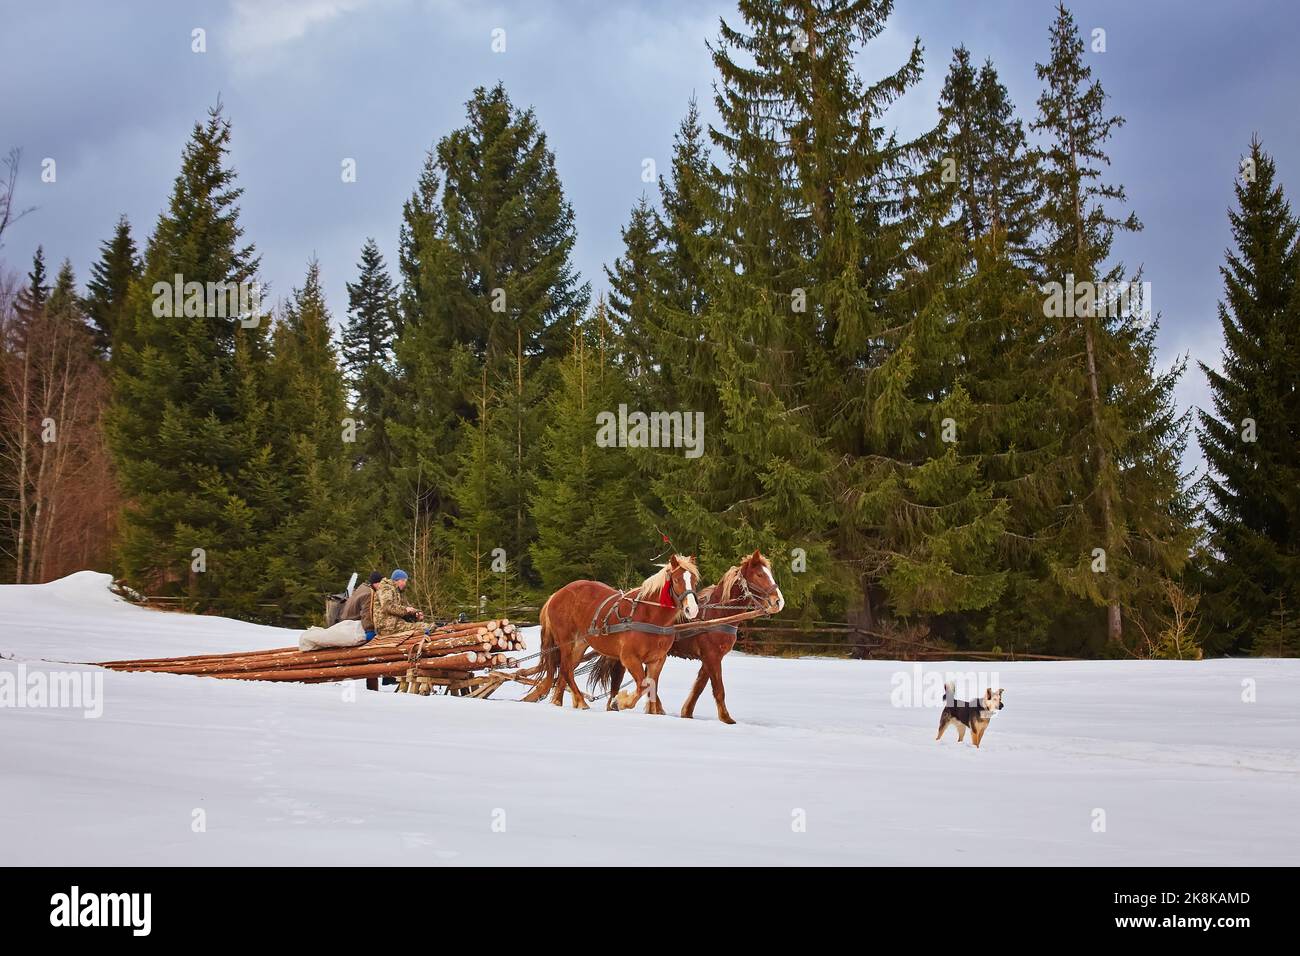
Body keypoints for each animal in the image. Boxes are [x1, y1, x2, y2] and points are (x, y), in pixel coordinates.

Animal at [521, 554, 702, 713]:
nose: (692, 609)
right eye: (677, 580)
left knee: (567, 670)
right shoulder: (629, 657)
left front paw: (652, 713)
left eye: (694, 580)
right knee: (565, 669)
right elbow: (643, 685)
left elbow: (651, 687)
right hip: (566, 641)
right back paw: (581, 701)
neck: (650, 615)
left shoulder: (657, 660)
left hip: (580, 643)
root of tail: (557, 594)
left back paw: (559, 702)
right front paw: (620, 702)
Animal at [588, 550, 784, 723]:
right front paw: (727, 719)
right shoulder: (712, 656)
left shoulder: (710, 657)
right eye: (759, 574)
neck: (717, 614)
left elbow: (699, 687)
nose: (778, 601)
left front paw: (687, 713)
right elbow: (718, 689)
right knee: (621, 677)